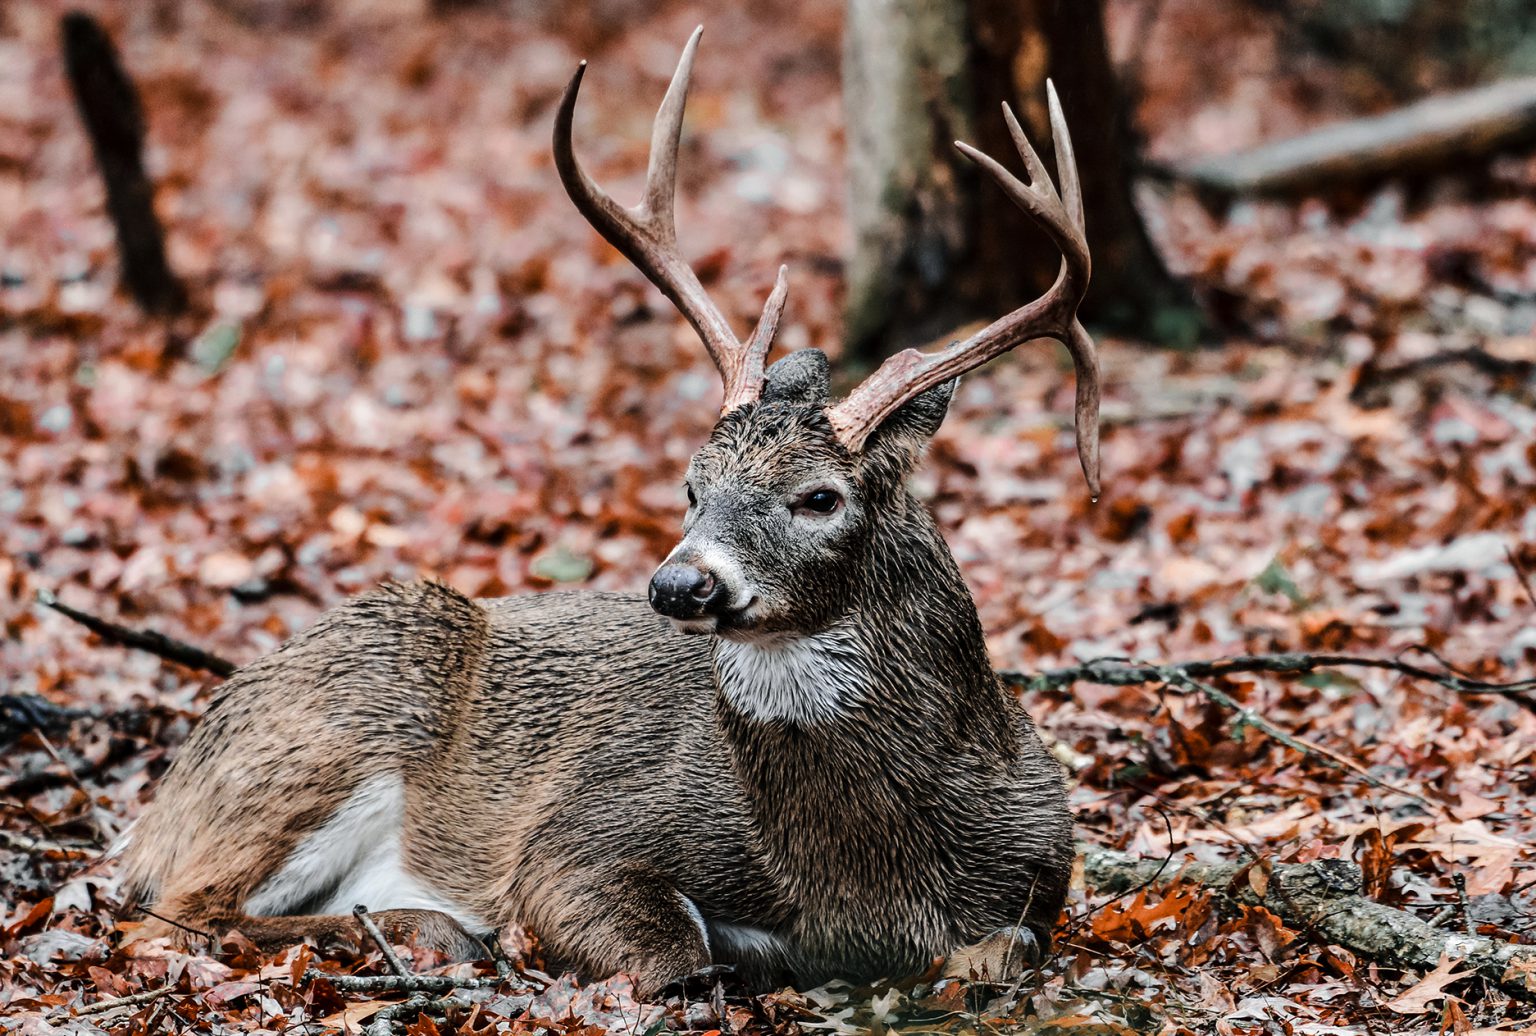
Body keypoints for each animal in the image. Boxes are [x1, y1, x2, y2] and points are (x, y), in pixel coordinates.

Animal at [115, 28, 1101, 997]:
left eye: (820, 497)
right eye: (693, 485)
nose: (680, 584)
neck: (866, 884)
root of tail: (173, 782)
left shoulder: (1043, 878)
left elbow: (1007, 951)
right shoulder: (577, 839)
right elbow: (677, 959)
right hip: (334, 722)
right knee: (176, 911)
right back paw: (434, 929)